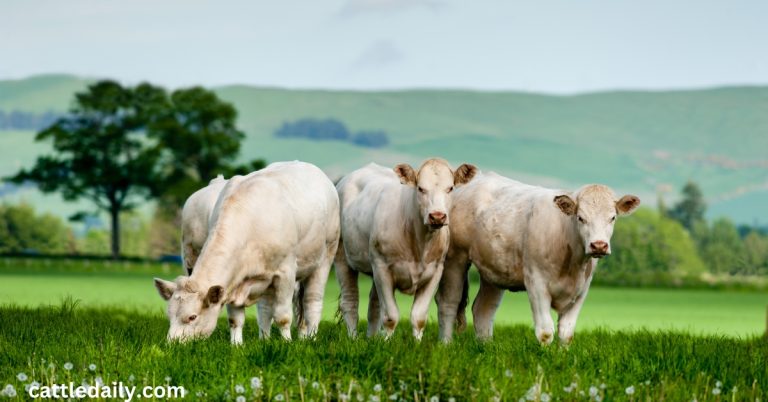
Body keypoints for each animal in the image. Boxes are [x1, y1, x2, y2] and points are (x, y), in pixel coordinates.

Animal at [154, 161, 340, 343]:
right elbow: (235, 319)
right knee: (266, 308)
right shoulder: (234, 279)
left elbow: (283, 316)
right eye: (170, 315)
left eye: (192, 317)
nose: (172, 344)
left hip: (325, 257)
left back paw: (311, 338)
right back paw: (265, 340)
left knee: (312, 302)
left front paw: (287, 343)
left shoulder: (286, 273)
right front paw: (237, 345)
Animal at [335, 159, 478, 340]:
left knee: (374, 305)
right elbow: (390, 316)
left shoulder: (435, 272)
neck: (419, 244)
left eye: (450, 188)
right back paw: (353, 339)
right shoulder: (382, 268)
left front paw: (416, 343)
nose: (437, 216)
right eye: (421, 188)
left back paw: (371, 339)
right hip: (342, 258)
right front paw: (387, 343)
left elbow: (419, 317)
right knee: (350, 301)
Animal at [436, 172, 640, 344]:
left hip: (493, 270)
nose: (599, 245)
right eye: (580, 218)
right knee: (448, 302)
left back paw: (486, 348)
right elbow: (545, 331)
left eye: (612, 217)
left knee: (483, 310)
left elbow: (566, 333)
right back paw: (446, 344)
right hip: (455, 258)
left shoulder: (582, 289)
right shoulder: (536, 283)